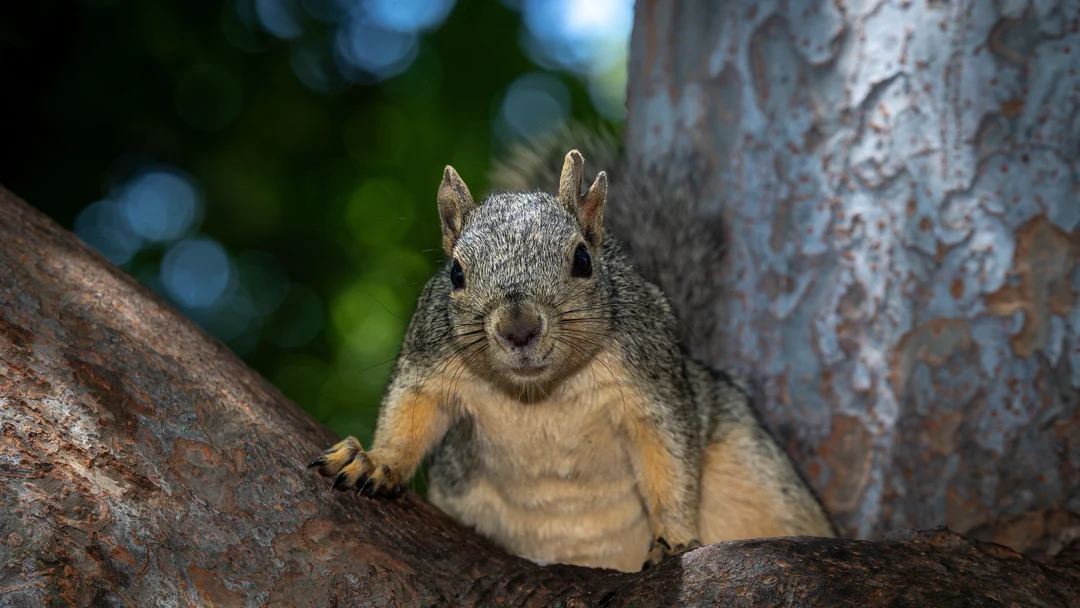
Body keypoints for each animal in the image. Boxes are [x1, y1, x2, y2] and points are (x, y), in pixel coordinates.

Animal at [308, 128, 837, 572]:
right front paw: (374, 461)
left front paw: (674, 538)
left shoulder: (652, 377)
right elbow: (410, 414)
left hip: (757, 479)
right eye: (456, 272)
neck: (541, 393)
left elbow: (669, 458)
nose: (519, 330)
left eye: (583, 259)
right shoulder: (430, 357)